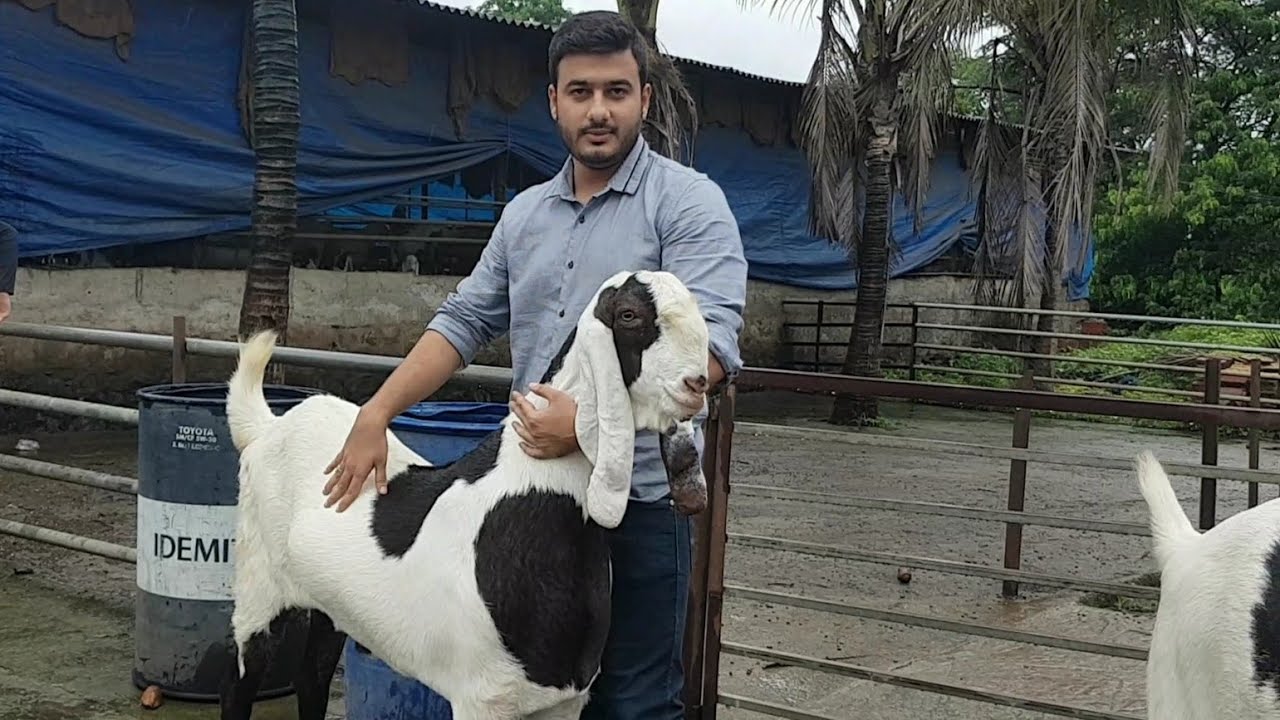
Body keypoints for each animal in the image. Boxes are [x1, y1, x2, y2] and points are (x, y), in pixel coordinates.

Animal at [218, 269, 714, 720]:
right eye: (630, 315)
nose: (697, 384)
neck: (533, 496)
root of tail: (267, 427)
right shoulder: (484, 698)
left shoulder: (563, 700)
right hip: (258, 587)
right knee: (240, 676)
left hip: (329, 604)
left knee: (312, 674)